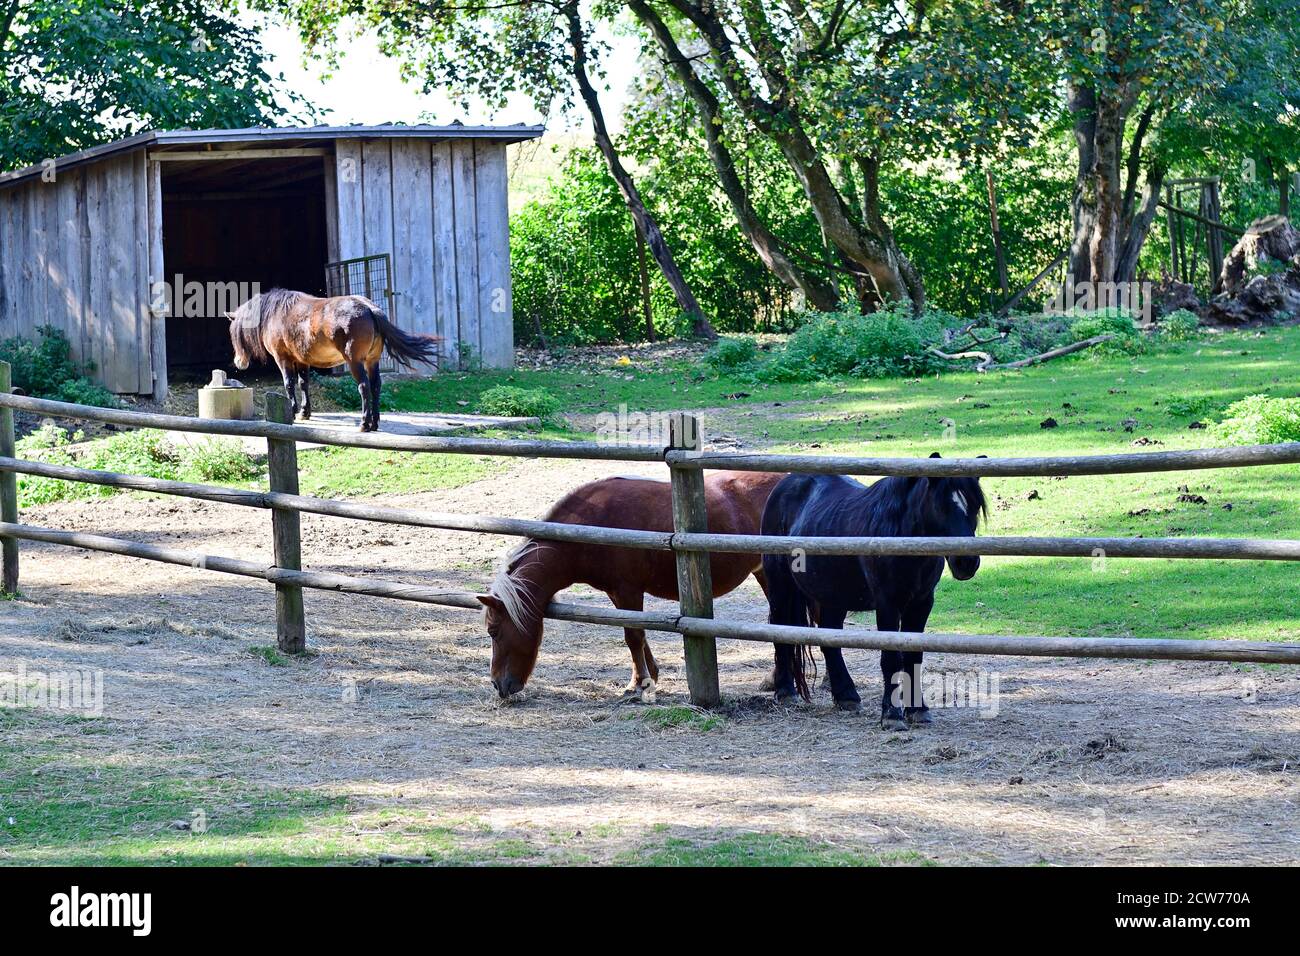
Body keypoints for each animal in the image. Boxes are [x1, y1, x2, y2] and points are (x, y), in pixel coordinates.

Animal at [228, 288, 442, 432]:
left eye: (234, 333)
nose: (239, 363)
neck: (277, 313)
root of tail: (370, 308)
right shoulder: (302, 360)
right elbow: (303, 383)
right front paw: (304, 412)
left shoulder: (283, 359)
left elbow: (289, 384)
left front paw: (293, 410)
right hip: (371, 361)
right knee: (375, 386)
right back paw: (374, 422)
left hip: (355, 362)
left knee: (364, 387)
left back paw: (365, 423)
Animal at [476, 471, 786, 700]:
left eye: (493, 631)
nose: (498, 685)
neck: (590, 527)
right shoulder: (617, 593)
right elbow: (638, 632)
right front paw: (650, 675)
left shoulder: (628, 590)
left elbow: (633, 635)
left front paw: (640, 683)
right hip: (764, 574)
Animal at [761, 453, 987, 729]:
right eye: (941, 506)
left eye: (974, 506)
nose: (966, 562)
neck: (899, 534)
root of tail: (785, 485)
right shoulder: (887, 603)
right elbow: (891, 657)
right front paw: (891, 714)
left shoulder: (922, 602)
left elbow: (913, 655)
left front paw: (918, 709)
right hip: (780, 583)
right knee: (780, 629)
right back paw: (786, 692)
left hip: (834, 595)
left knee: (830, 639)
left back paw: (846, 696)